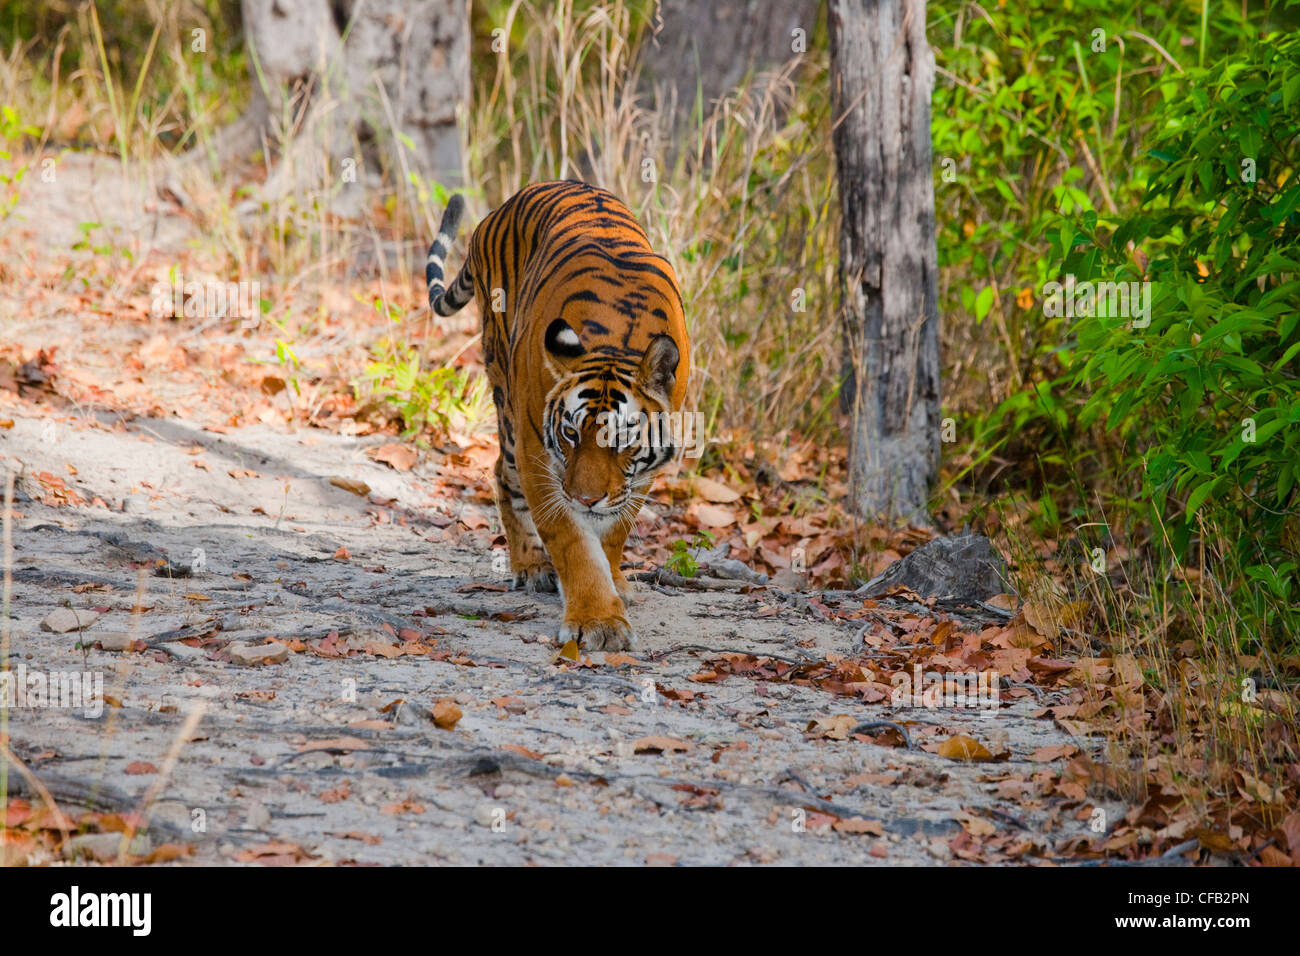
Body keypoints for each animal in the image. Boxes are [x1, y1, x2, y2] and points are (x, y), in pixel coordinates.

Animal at [425, 181, 690, 651]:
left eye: (623, 441)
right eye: (569, 434)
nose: (585, 499)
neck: (615, 342)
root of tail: (496, 212)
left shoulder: (640, 475)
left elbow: (616, 531)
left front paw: (614, 582)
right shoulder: (539, 456)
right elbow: (572, 543)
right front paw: (598, 621)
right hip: (505, 399)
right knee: (501, 471)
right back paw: (531, 566)